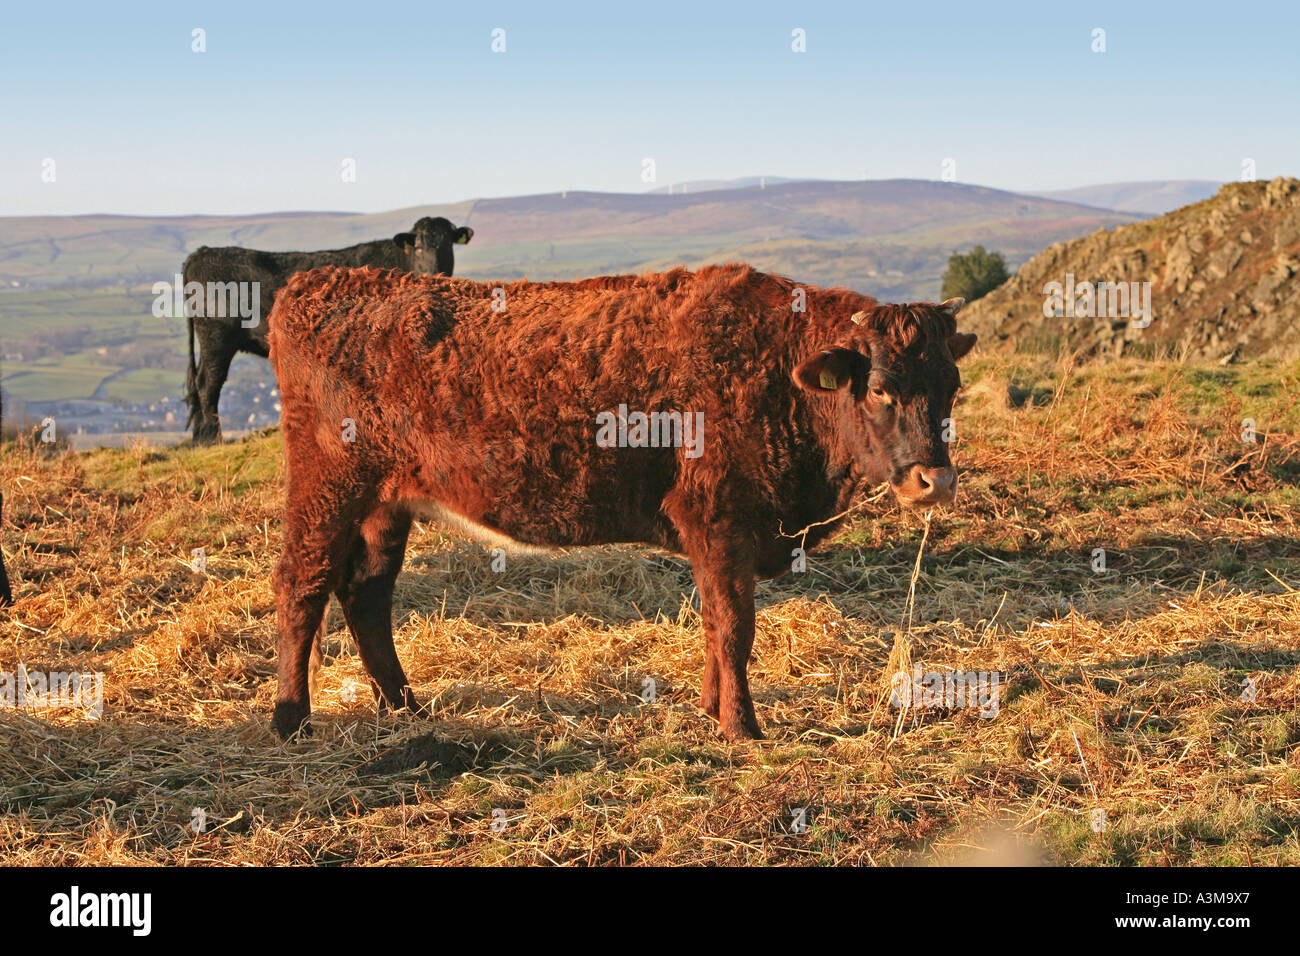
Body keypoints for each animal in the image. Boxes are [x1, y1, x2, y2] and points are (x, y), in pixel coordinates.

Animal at [183, 216, 473, 443]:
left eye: (448, 245)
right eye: (419, 247)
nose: (436, 273)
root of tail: (202, 252)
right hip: (216, 337)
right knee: (208, 383)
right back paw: (212, 438)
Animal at [267, 263, 976, 742]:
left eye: (952, 383)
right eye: (880, 388)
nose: (934, 481)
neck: (774, 370)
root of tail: (318, 280)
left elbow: (716, 626)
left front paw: (711, 710)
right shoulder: (719, 522)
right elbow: (735, 625)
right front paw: (742, 728)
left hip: (385, 506)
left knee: (366, 593)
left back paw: (403, 707)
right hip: (327, 486)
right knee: (302, 584)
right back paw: (290, 718)